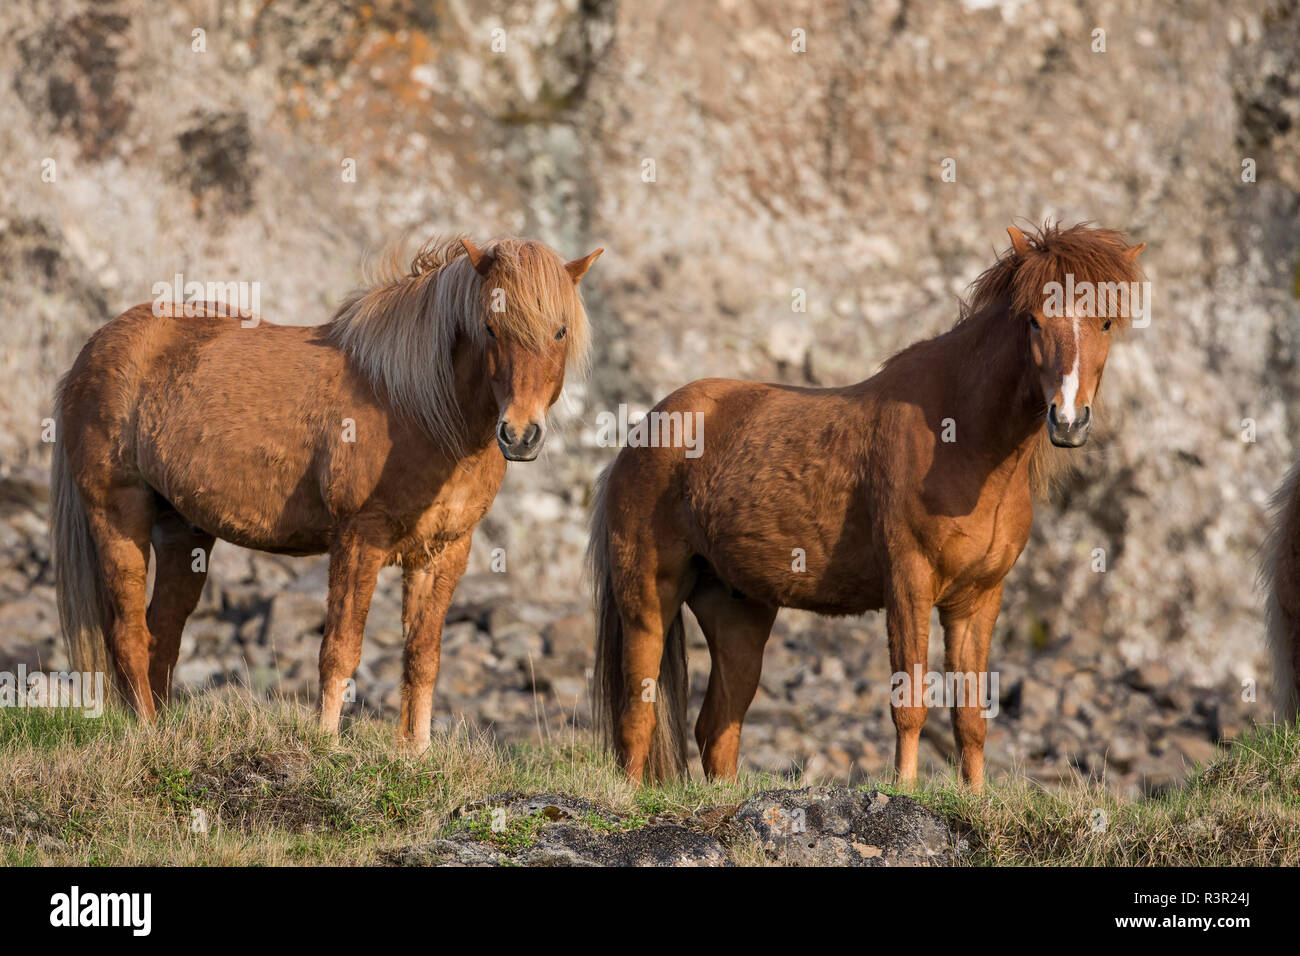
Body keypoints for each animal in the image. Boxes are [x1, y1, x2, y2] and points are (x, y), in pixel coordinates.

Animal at [51, 235, 602, 751]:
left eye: (560, 330)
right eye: (491, 328)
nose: (520, 434)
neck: (417, 406)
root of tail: (95, 348)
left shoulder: (444, 552)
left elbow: (423, 657)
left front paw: (416, 753)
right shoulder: (359, 540)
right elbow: (340, 649)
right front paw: (326, 742)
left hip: (183, 530)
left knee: (162, 634)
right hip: (118, 514)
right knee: (129, 633)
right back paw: (147, 731)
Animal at [589, 221, 1145, 792]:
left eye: (1104, 321)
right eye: (1033, 319)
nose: (1068, 420)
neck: (961, 438)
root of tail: (641, 434)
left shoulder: (978, 600)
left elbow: (970, 716)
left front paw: (973, 796)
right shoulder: (908, 584)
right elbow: (911, 701)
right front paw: (903, 790)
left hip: (737, 609)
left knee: (717, 727)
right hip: (648, 601)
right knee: (638, 716)